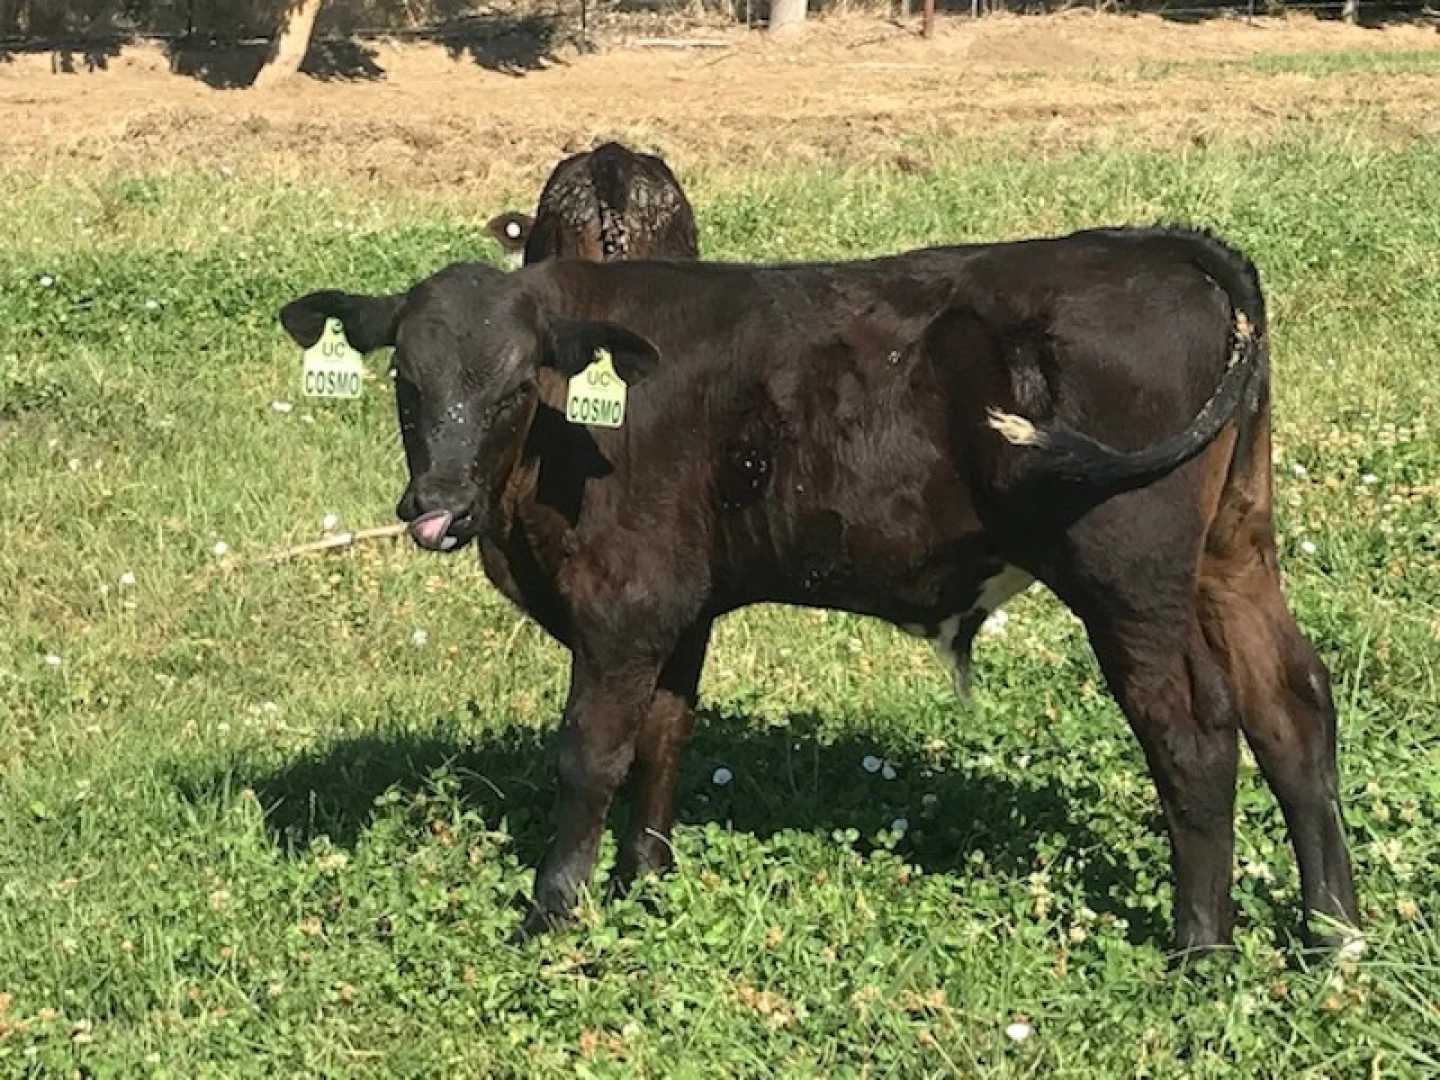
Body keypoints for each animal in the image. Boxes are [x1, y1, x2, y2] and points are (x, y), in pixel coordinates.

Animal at [279, 226, 1360, 956]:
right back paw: (1332, 932)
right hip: (1235, 547)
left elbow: (590, 752)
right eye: (406, 385)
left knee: (1196, 732)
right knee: (1290, 704)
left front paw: (552, 912)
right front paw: (646, 882)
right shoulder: (680, 602)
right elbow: (665, 736)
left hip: (1129, 575)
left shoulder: (623, 602)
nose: (435, 506)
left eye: (512, 387)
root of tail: (1159, 242)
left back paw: (1200, 948)